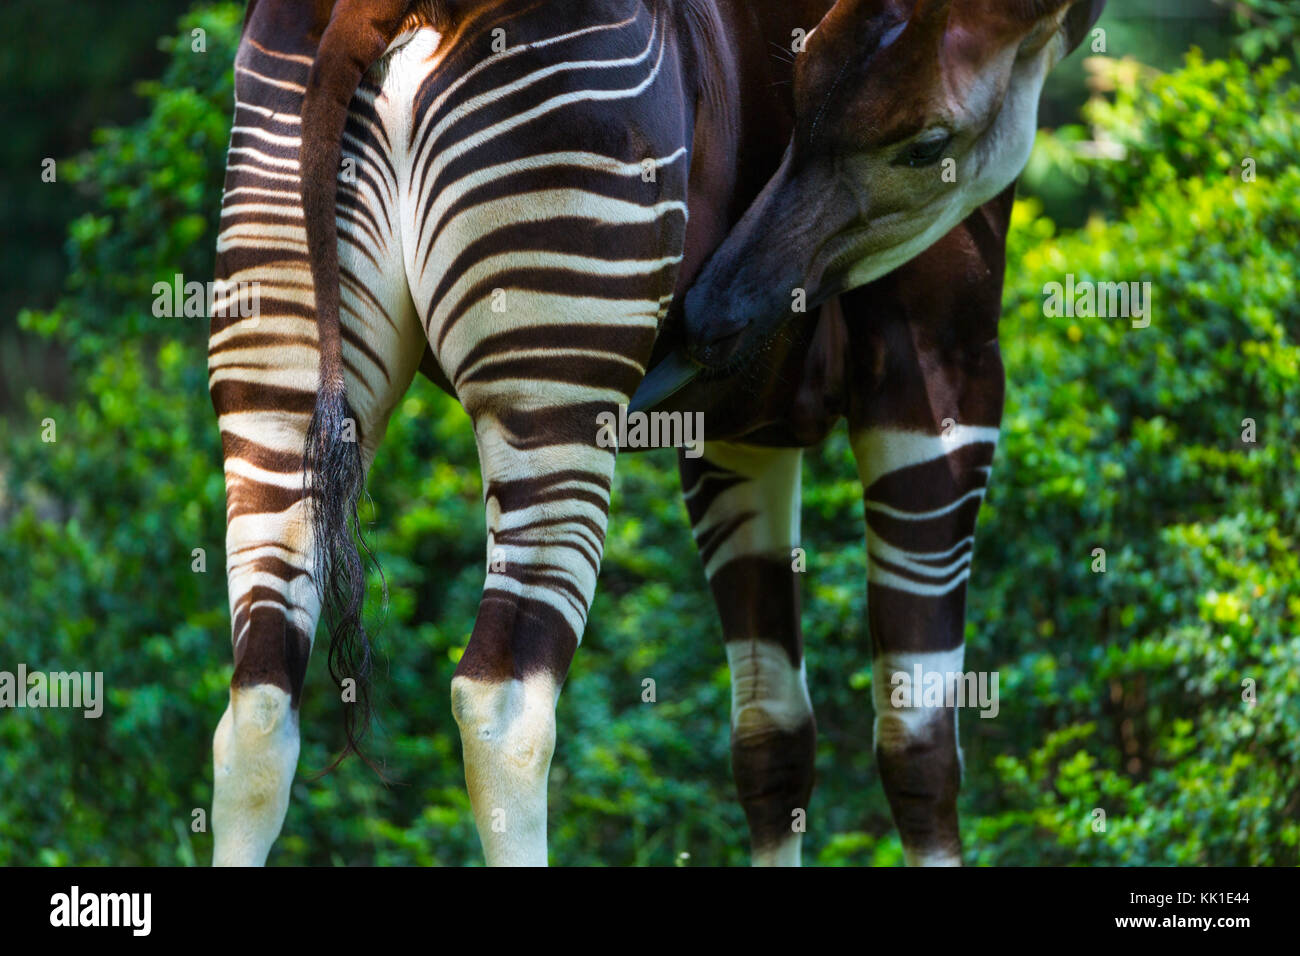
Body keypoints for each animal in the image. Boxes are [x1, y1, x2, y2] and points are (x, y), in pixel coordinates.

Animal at [209, 0, 1103, 866]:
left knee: (257, 706)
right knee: (502, 704)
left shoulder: (736, 428)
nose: (715, 311)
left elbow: (771, 743)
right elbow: (920, 747)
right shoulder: (942, 373)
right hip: (556, 387)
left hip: (276, 386)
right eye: (928, 147)